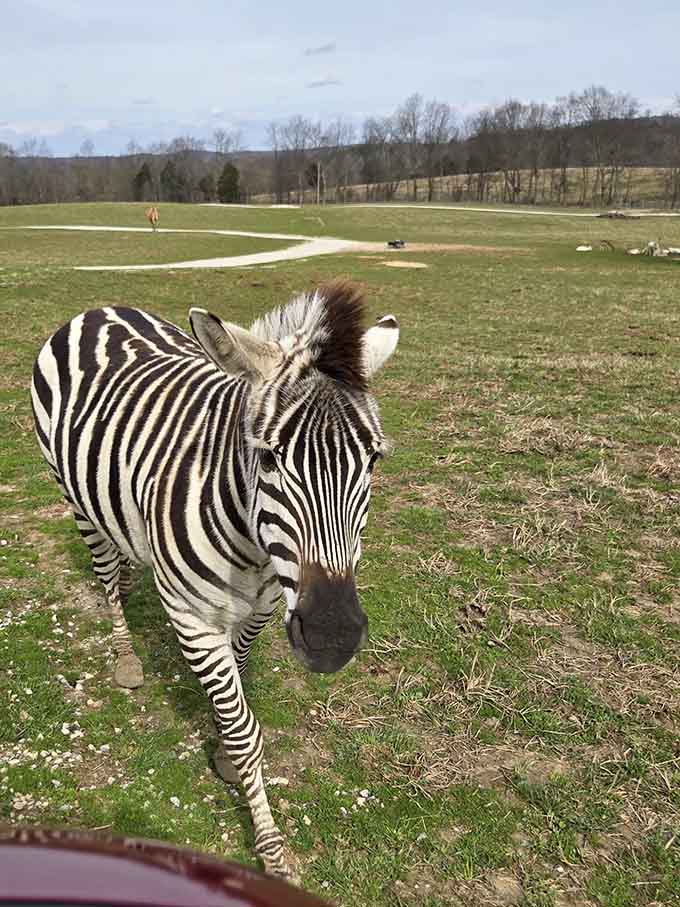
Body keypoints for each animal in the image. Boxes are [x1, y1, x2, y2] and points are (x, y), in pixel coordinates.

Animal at [30, 282, 399, 878]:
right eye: (269, 458)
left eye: (372, 461)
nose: (333, 636)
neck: (254, 552)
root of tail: (99, 309)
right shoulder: (194, 621)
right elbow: (245, 729)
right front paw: (270, 848)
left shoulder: (263, 609)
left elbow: (239, 692)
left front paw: (225, 749)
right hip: (76, 500)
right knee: (105, 573)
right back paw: (124, 650)